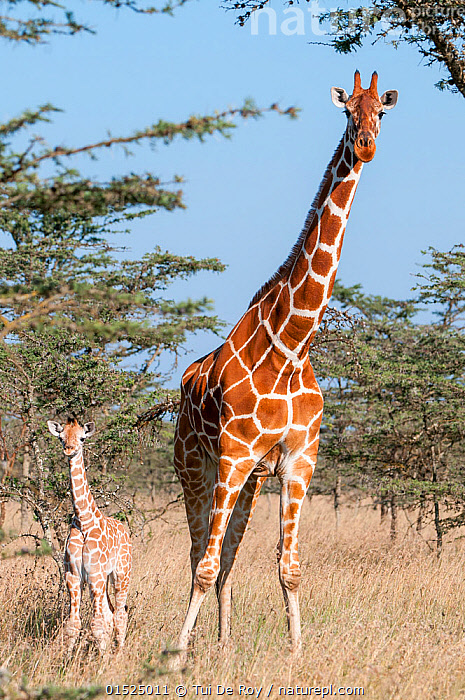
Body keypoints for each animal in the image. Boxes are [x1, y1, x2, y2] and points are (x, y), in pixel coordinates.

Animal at [47, 418, 132, 653]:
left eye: (82, 438)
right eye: (61, 437)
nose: (69, 449)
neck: (84, 520)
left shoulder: (95, 575)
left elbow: (96, 624)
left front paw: (104, 661)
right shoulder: (74, 575)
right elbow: (73, 625)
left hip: (121, 574)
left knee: (120, 614)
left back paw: (119, 654)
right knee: (111, 614)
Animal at [173, 71, 398, 657]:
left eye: (381, 112)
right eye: (347, 111)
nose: (365, 145)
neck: (290, 346)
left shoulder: (298, 462)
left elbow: (288, 566)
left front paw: (296, 651)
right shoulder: (231, 457)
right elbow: (204, 566)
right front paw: (178, 655)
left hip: (250, 480)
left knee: (227, 556)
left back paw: (225, 644)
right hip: (194, 467)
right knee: (199, 554)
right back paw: (196, 644)